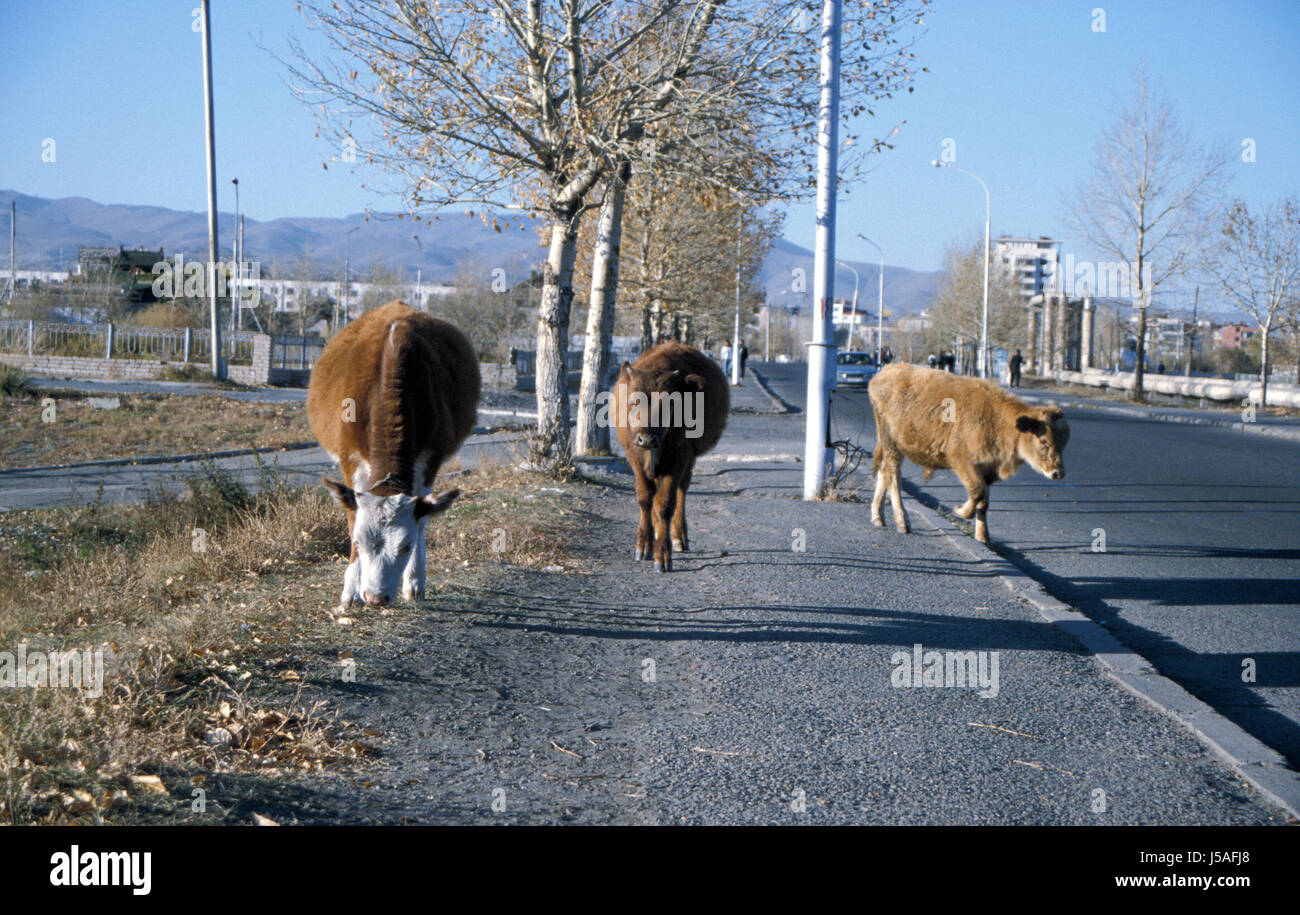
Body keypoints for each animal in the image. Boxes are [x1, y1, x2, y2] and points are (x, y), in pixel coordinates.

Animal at [307, 301, 479, 607]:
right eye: (358, 543)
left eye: (406, 546)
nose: (375, 598)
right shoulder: (350, 458)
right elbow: (351, 515)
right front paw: (350, 590)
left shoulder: (430, 458)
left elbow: (422, 517)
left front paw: (414, 581)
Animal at [613, 341, 728, 572]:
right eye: (633, 401)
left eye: (669, 404)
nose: (647, 439)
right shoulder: (634, 457)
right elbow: (645, 498)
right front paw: (644, 546)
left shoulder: (679, 459)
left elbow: (665, 503)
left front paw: (663, 555)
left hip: (688, 462)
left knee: (681, 491)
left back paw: (678, 537)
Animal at [868, 362, 1069, 544]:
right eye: (1044, 441)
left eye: (1064, 442)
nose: (1058, 472)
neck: (997, 419)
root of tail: (885, 372)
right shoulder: (963, 461)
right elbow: (977, 492)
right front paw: (960, 511)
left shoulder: (988, 470)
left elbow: (984, 502)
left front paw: (983, 538)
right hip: (891, 442)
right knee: (892, 475)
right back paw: (902, 521)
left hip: (894, 445)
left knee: (884, 472)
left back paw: (878, 517)